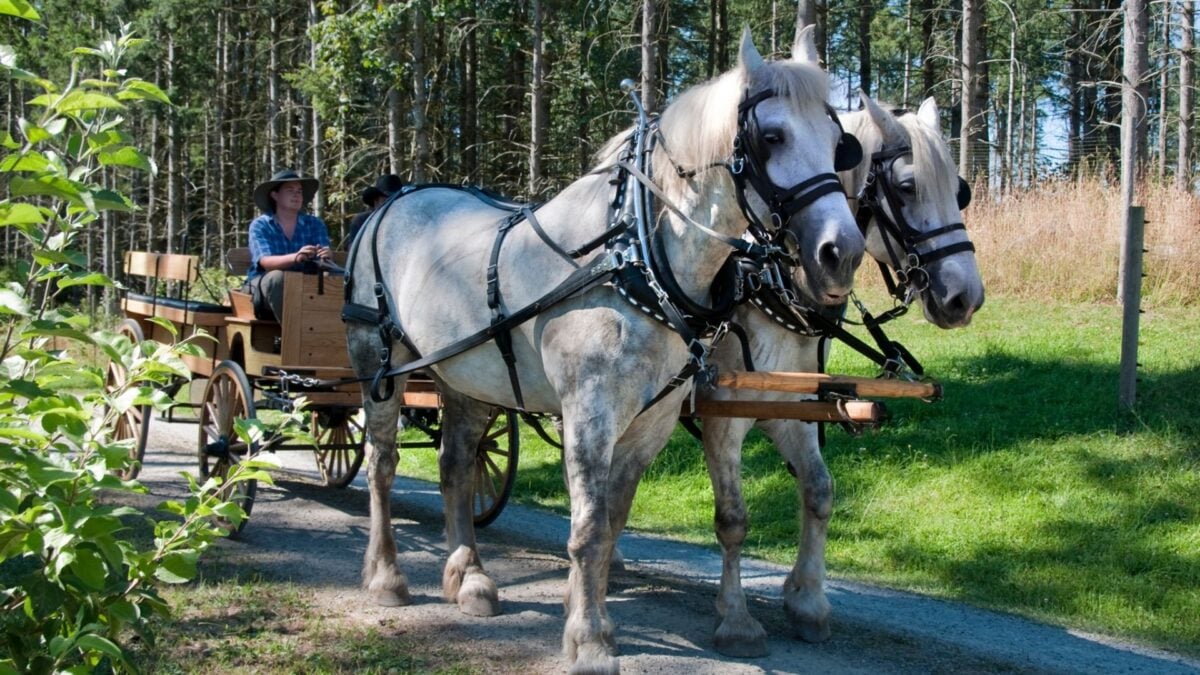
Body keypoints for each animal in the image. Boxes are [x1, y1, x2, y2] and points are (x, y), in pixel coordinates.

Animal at [344, 28, 864, 673]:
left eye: (839, 145)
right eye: (772, 137)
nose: (841, 253)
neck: (636, 256)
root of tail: (392, 197)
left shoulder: (653, 419)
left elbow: (613, 518)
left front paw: (584, 610)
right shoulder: (589, 411)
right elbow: (589, 529)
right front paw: (589, 638)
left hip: (465, 378)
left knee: (456, 467)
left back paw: (471, 580)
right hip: (378, 362)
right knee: (382, 465)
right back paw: (386, 576)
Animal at [696, 91, 986, 657]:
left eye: (959, 192)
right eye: (907, 186)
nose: (966, 296)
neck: (768, 281)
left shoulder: (791, 410)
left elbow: (820, 492)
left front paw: (807, 600)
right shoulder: (722, 413)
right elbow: (734, 519)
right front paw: (736, 619)